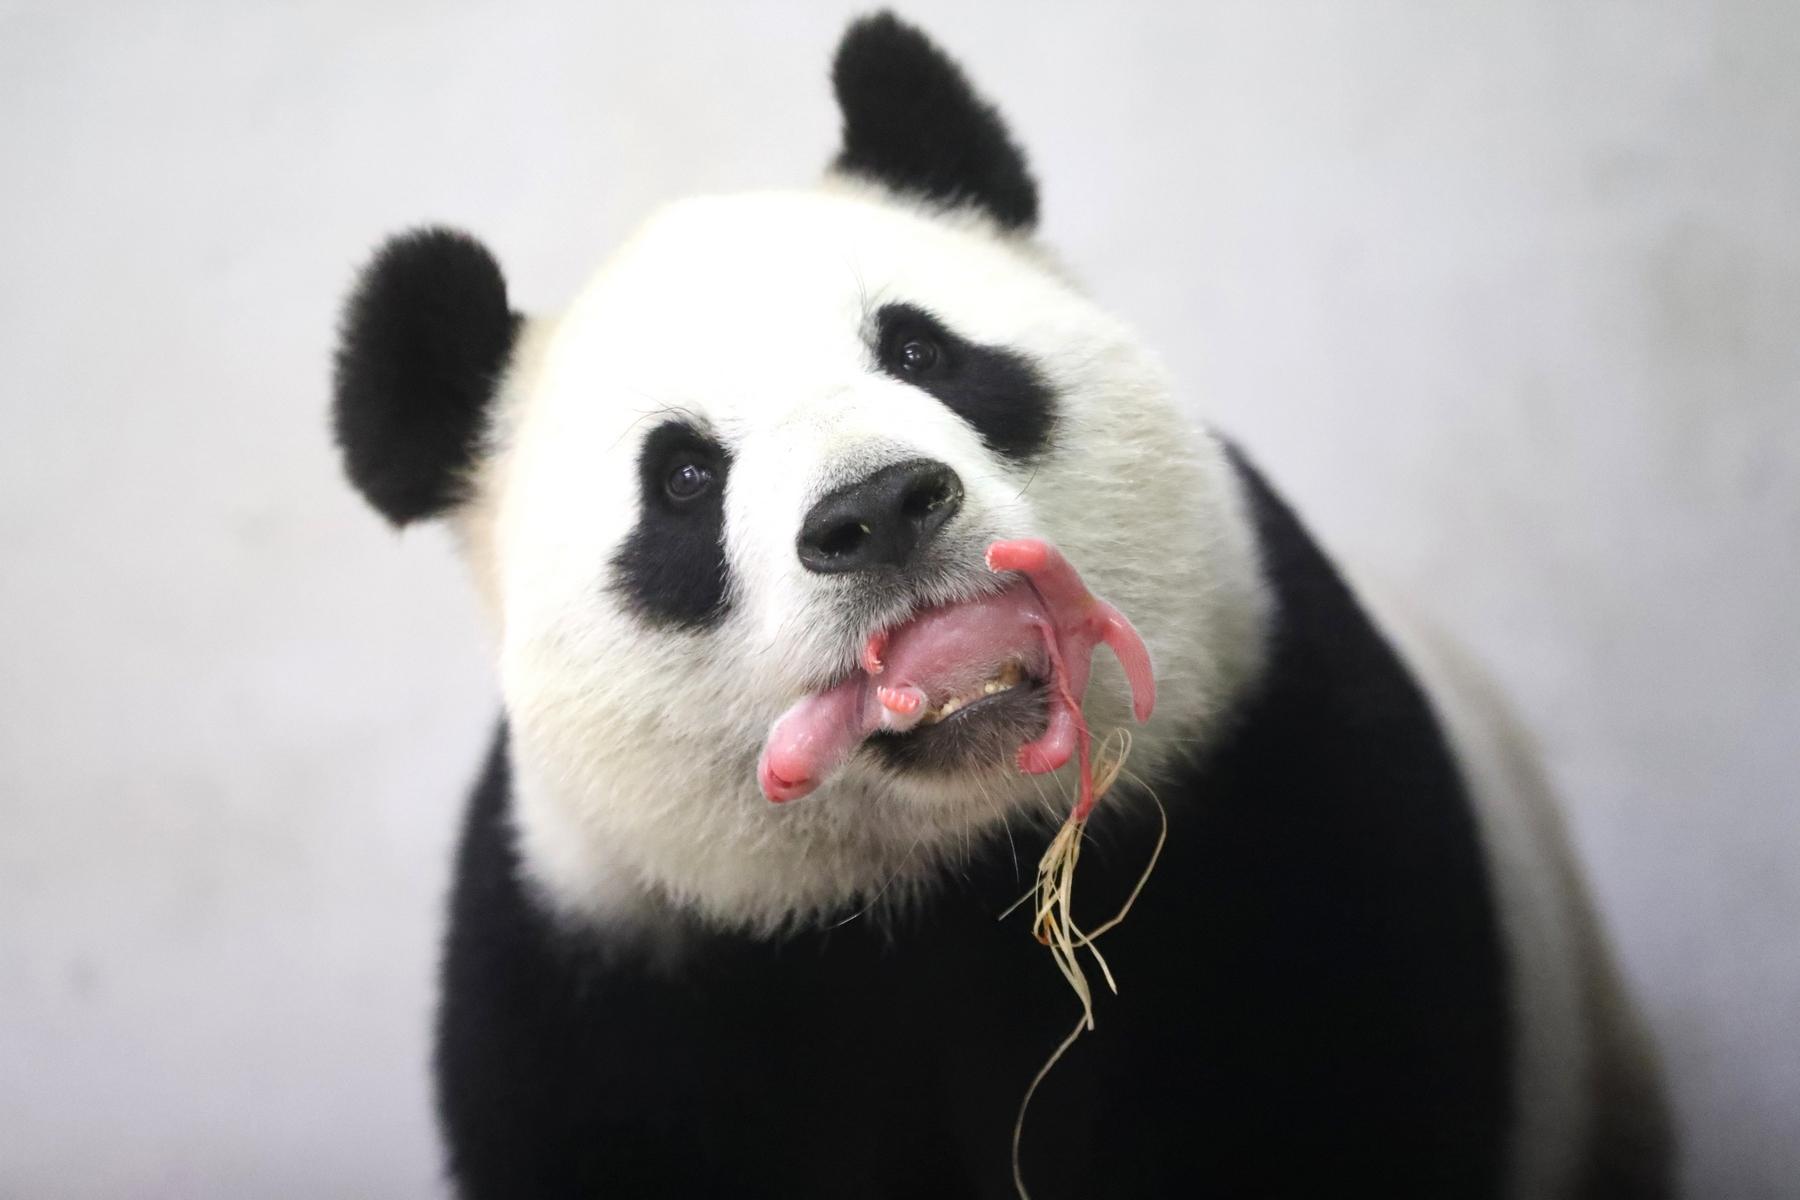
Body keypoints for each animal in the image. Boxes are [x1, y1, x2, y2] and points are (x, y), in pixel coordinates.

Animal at [331, 13, 1669, 1200]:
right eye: (683, 478)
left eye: (922, 351)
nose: (877, 510)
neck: (945, 874)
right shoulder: (609, 965)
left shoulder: (1272, 788)